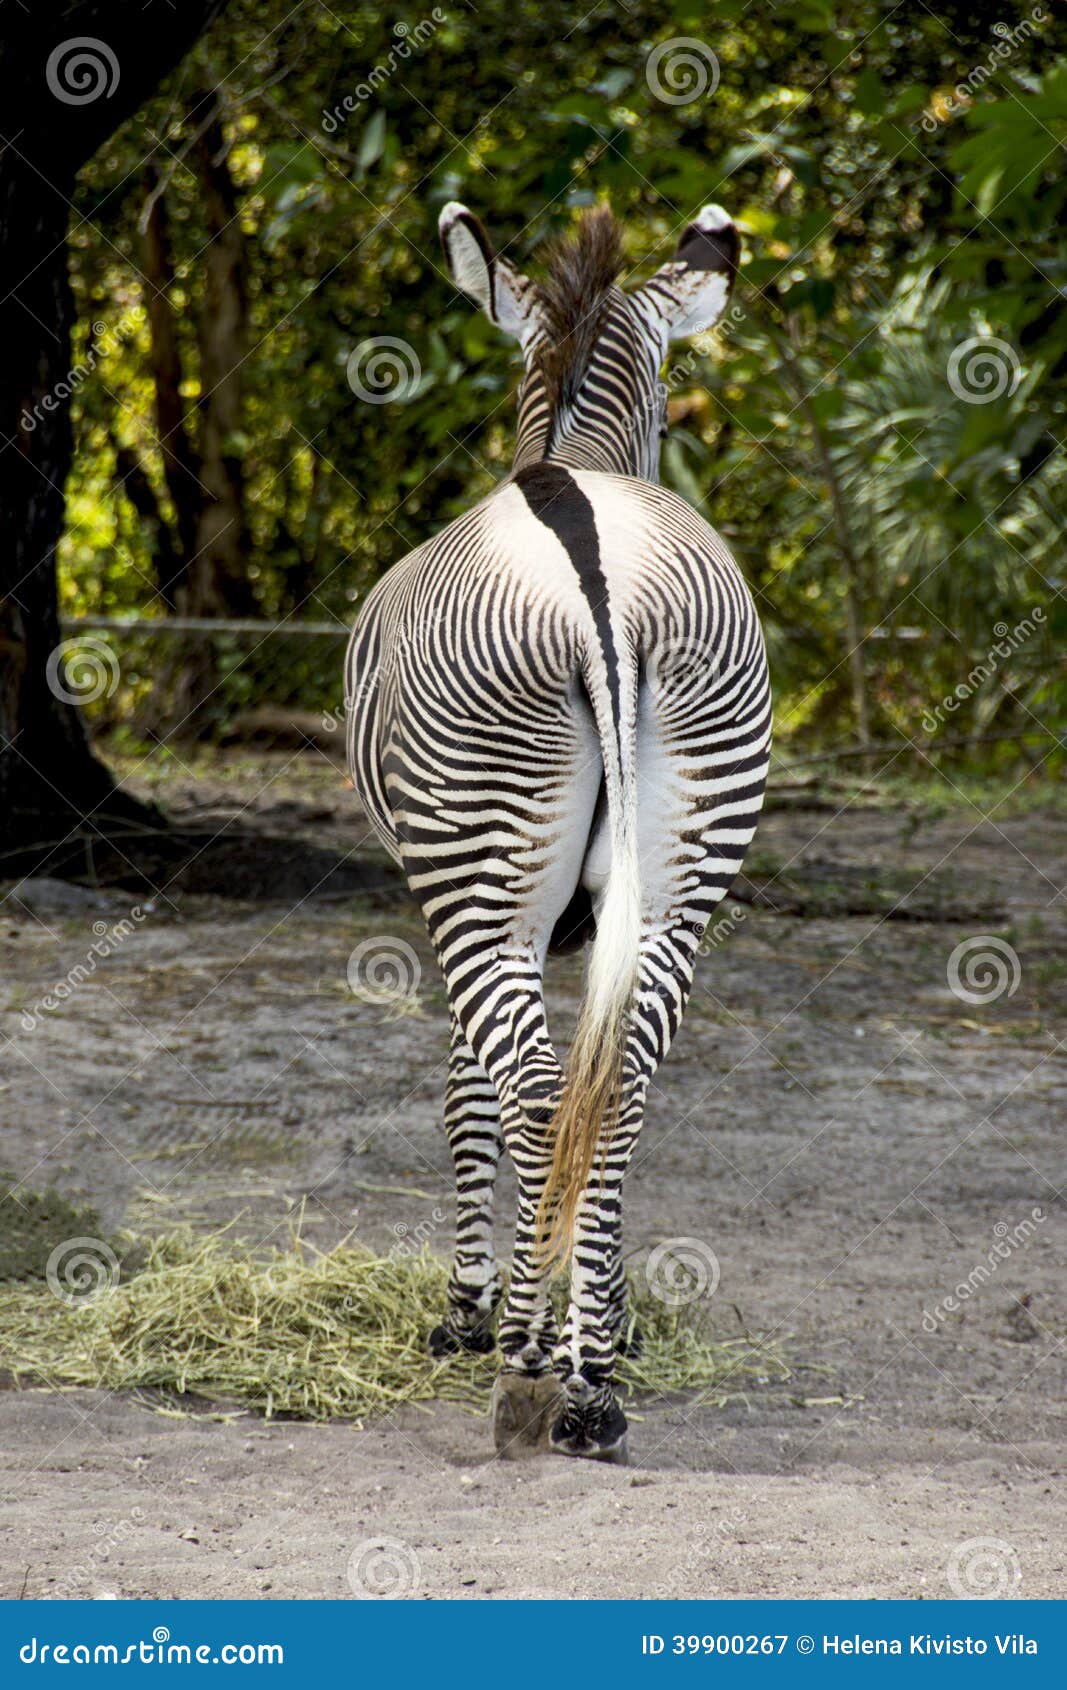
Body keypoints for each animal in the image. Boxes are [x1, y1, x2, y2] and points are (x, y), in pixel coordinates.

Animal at [345, 199, 771, 1463]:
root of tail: (599, 588)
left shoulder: (491, 908)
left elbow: (467, 1093)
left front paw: (469, 1308)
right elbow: (594, 1084)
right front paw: (606, 1314)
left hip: (477, 867)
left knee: (536, 1090)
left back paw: (533, 1371)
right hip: (687, 858)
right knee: (617, 1084)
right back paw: (591, 1379)